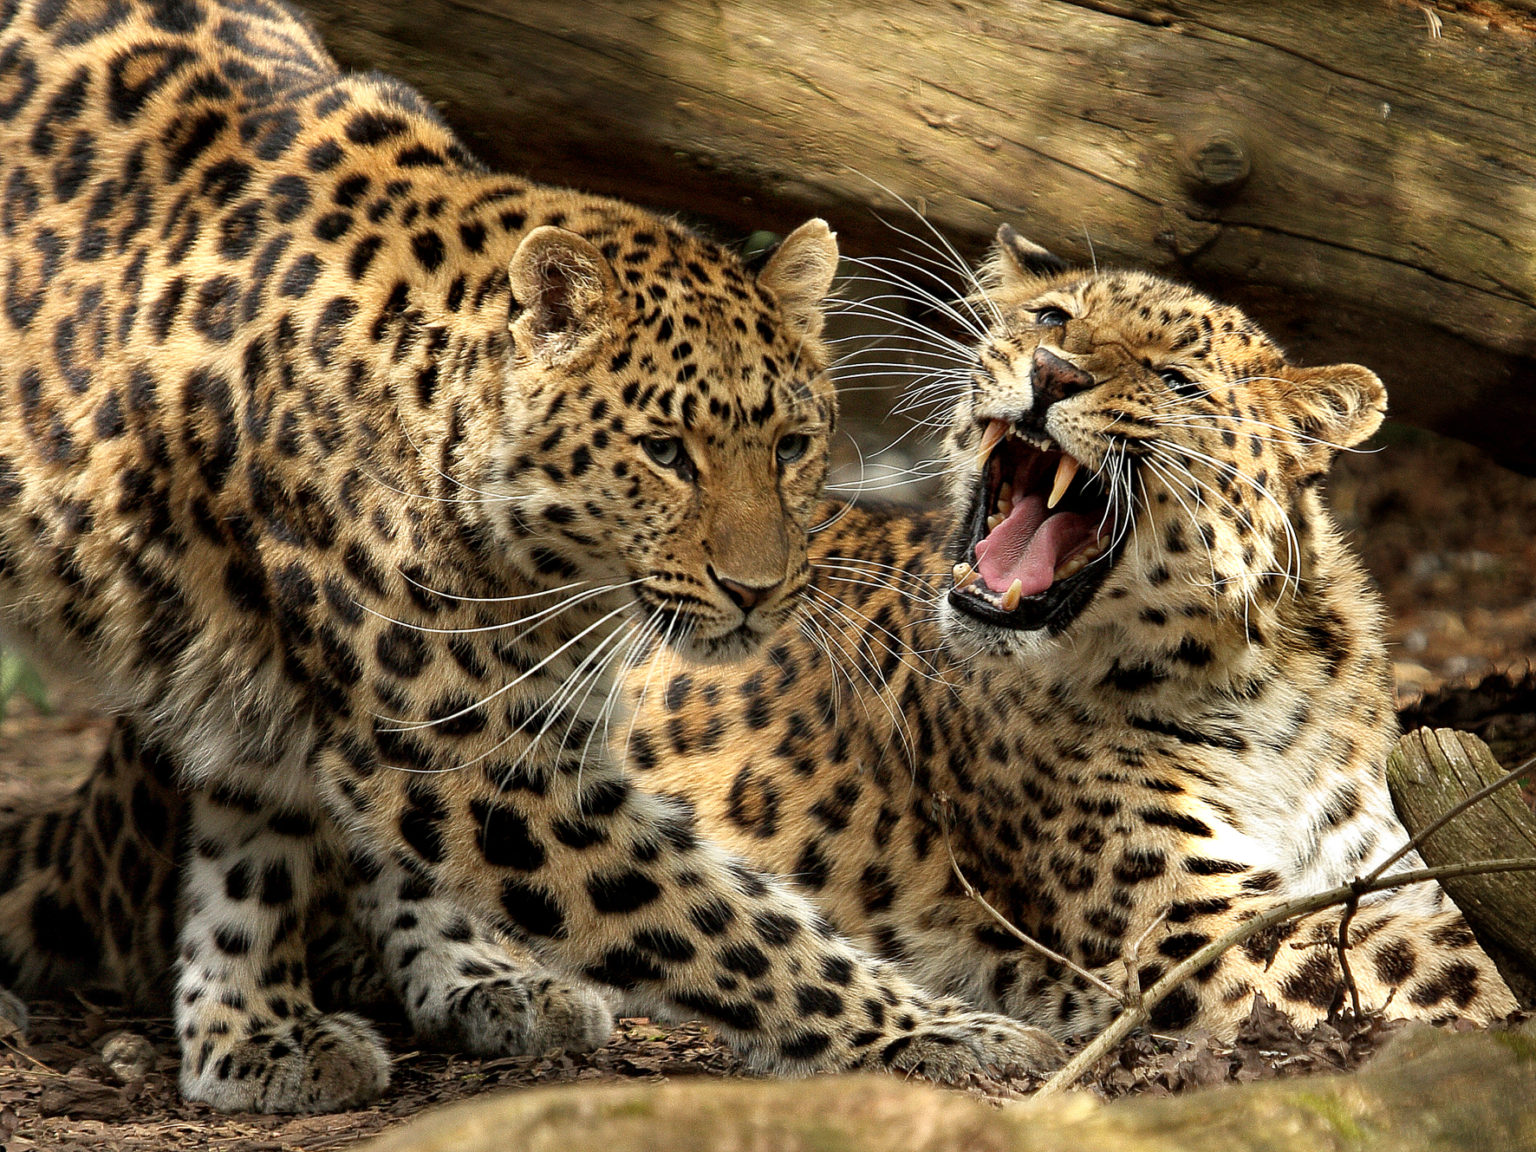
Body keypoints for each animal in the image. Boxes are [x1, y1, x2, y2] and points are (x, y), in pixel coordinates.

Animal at [0, 0, 1061, 1114]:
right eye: (666, 451)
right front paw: (940, 1033)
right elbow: (729, 923)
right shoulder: (471, 759)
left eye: (791, 445)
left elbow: (260, 842)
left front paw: (263, 1029)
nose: (758, 590)